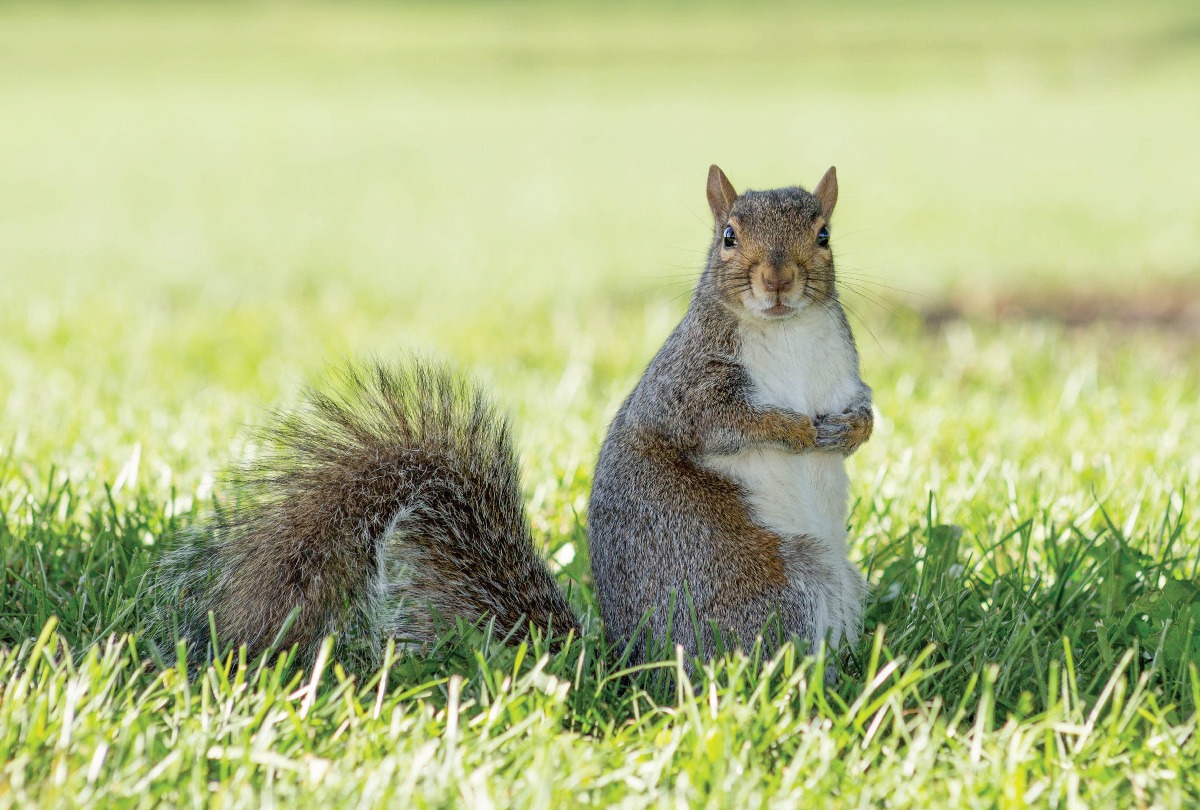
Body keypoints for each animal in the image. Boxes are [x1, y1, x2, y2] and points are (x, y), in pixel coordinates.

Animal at [149, 165, 872, 670]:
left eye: (824, 235)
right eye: (727, 238)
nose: (777, 281)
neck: (787, 334)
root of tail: (632, 667)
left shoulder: (842, 370)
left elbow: (864, 407)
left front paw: (852, 431)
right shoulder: (687, 387)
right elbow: (722, 421)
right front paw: (793, 429)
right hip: (770, 589)